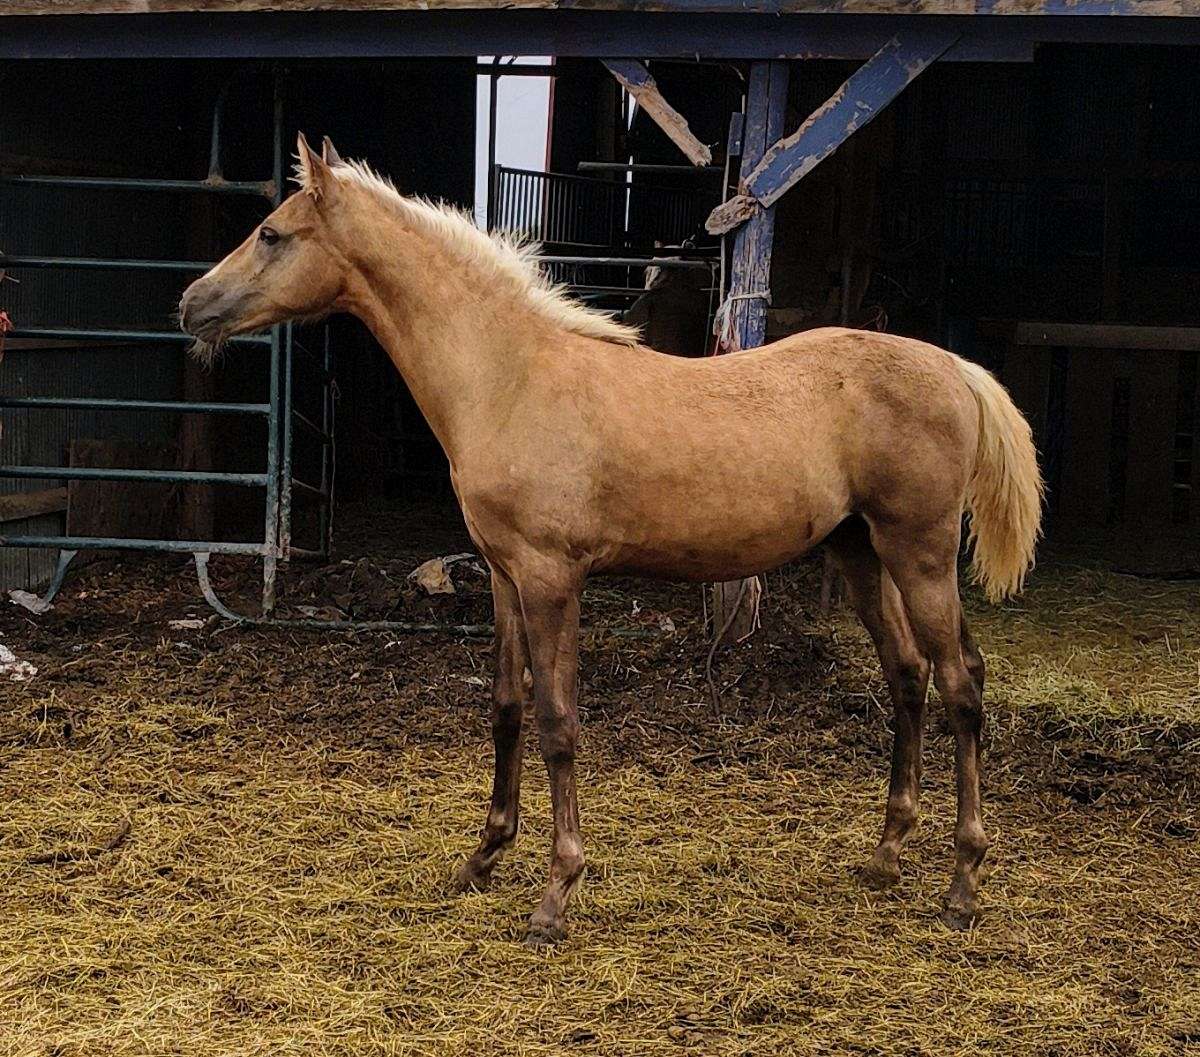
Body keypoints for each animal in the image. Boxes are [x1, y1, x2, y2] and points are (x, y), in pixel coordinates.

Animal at [180, 134, 1043, 945]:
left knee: (961, 684)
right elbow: (506, 706)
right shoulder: (503, 576)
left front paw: (556, 893)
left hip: (919, 553)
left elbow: (558, 720)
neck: (509, 375)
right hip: (861, 550)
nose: (191, 305)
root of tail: (955, 367)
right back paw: (886, 854)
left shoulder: (551, 578)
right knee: (907, 676)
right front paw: (482, 856)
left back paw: (962, 882)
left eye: (271, 232)